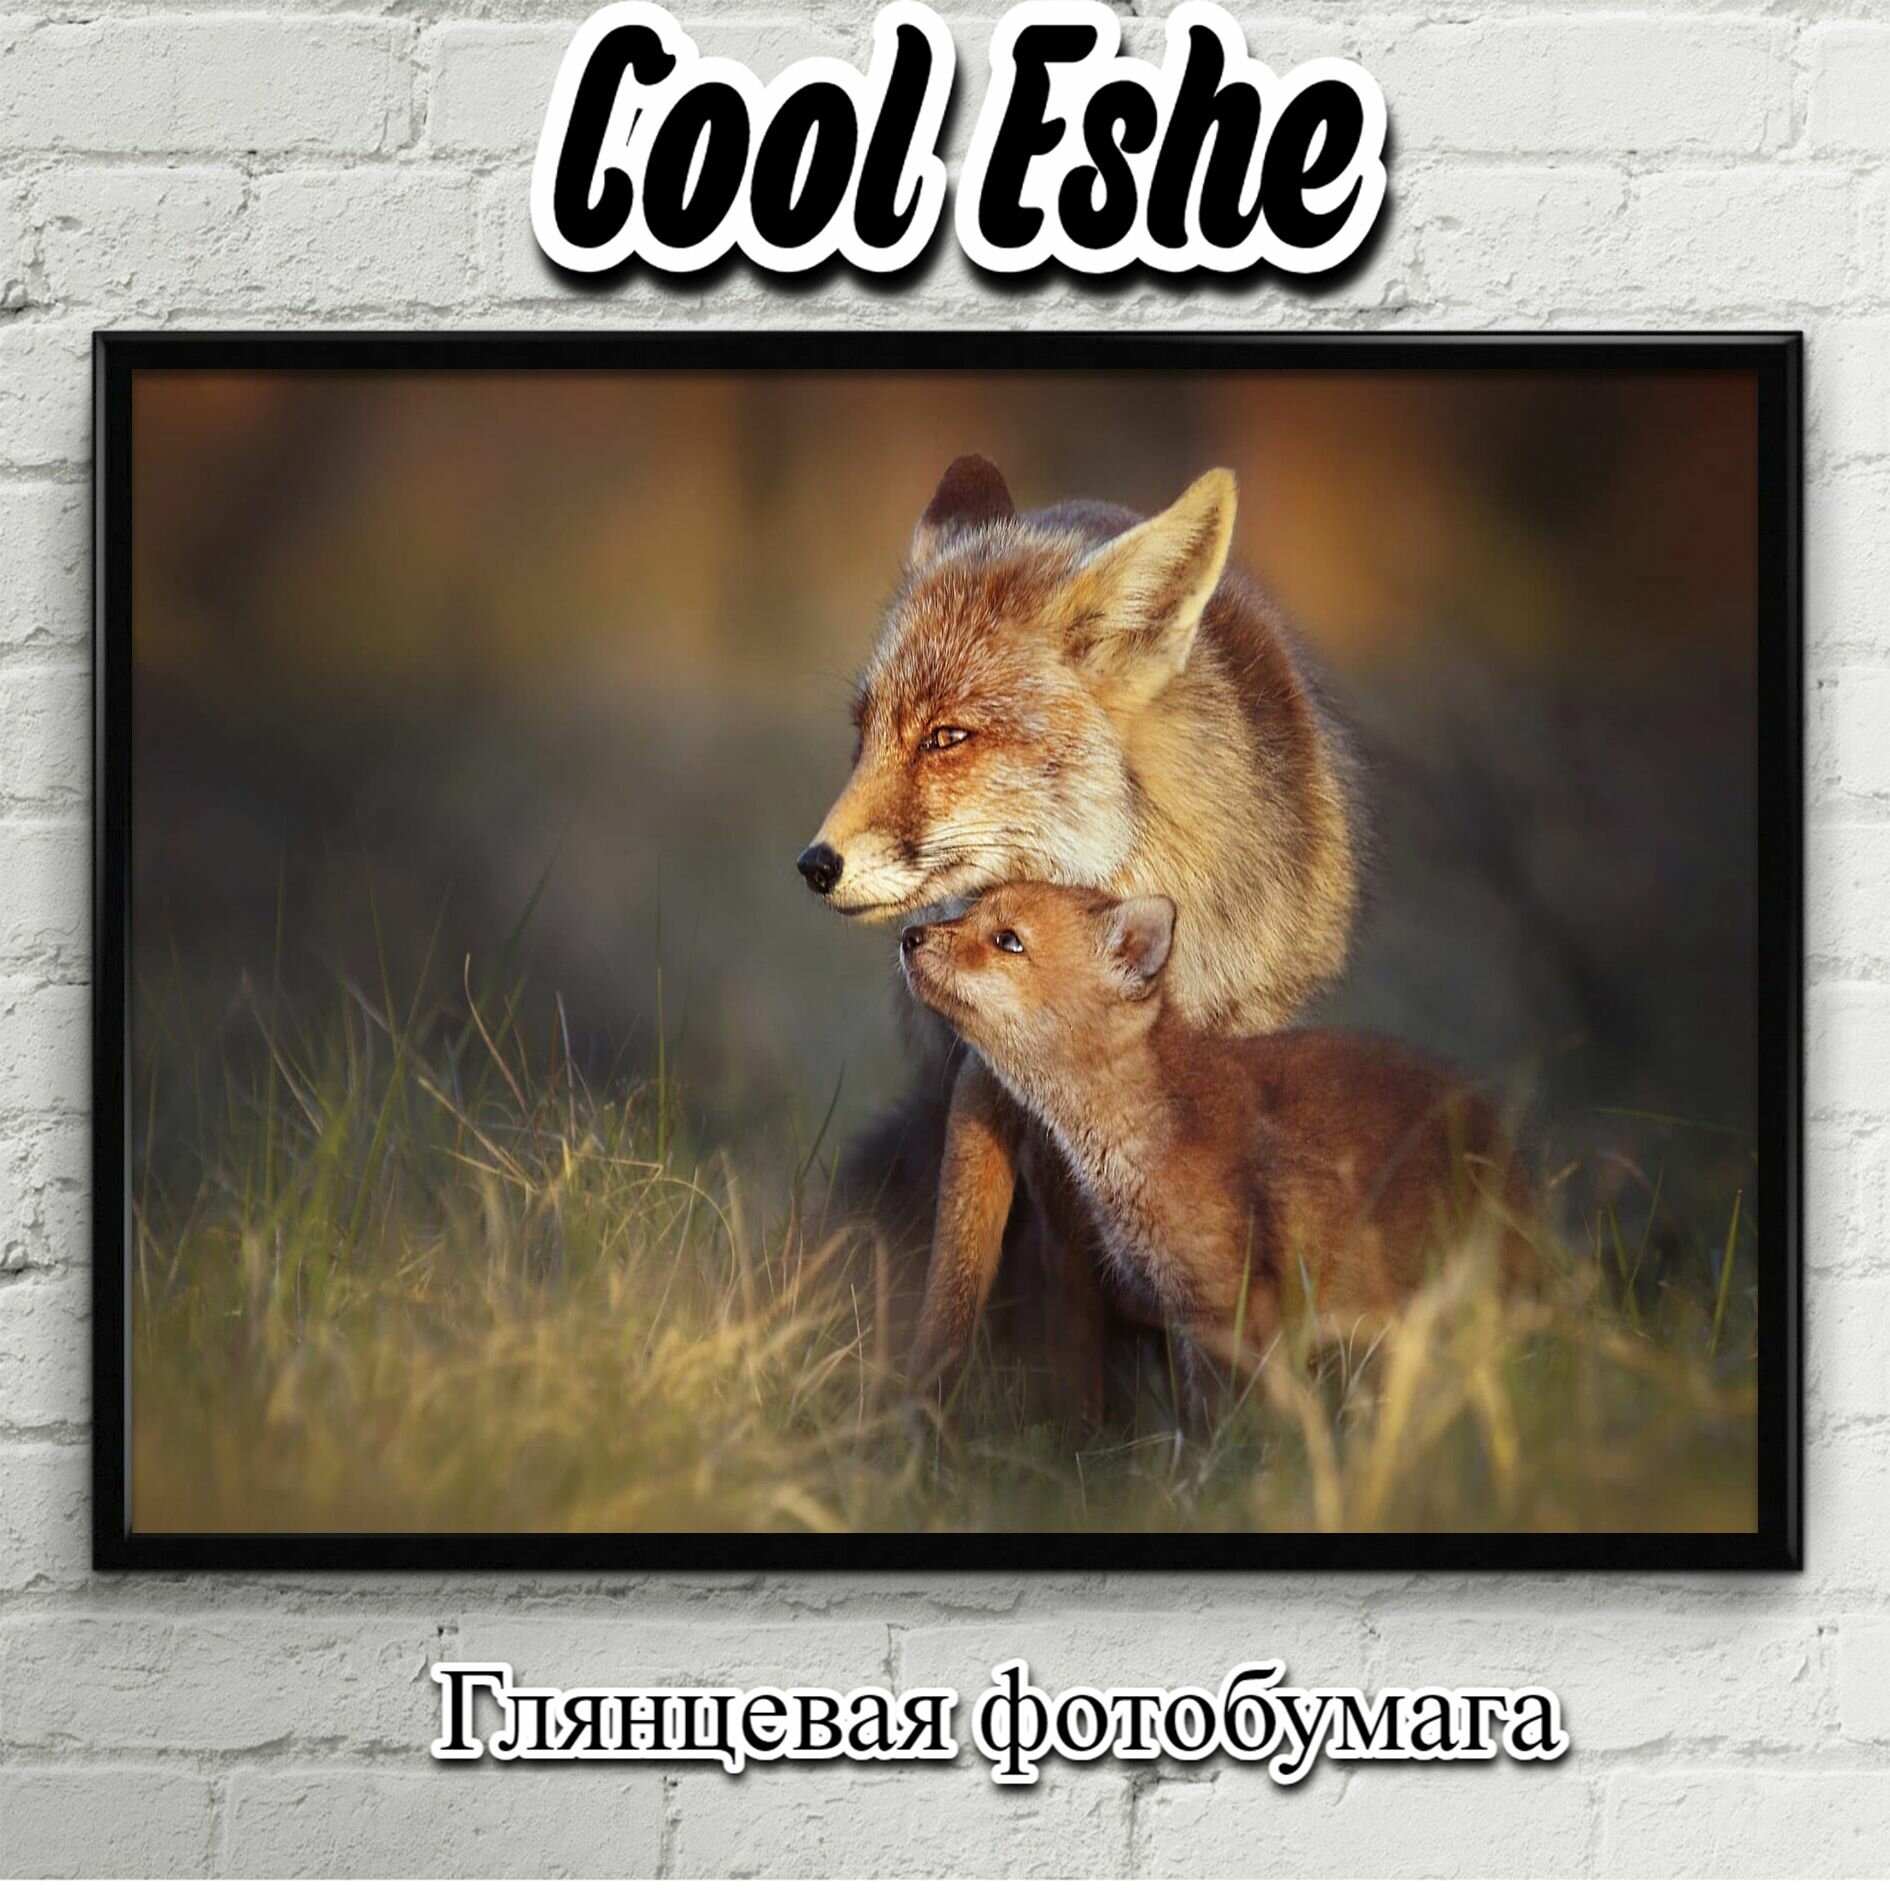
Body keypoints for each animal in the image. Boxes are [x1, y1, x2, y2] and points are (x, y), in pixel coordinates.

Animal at [796, 454, 1361, 1416]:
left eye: (947, 737)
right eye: (863, 735)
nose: (814, 863)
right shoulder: (988, 1077)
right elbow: (967, 1280)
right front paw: (948, 1422)